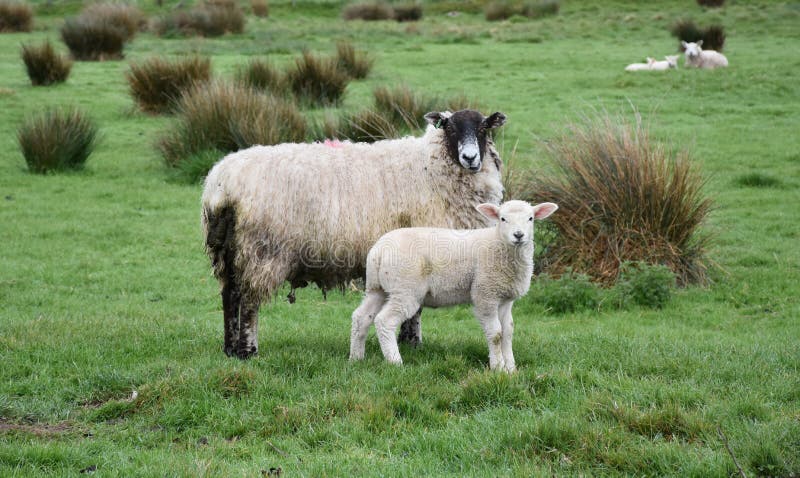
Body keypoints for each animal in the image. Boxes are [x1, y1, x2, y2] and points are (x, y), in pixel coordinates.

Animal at [201, 109, 507, 359]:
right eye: (450, 128)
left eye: (483, 129)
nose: (471, 158)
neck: (432, 167)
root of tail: (220, 183)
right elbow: (416, 306)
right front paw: (412, 341)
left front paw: (410, 341)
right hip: (262, 250)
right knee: (249, 301)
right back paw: (248, 350)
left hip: (228, 249)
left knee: (230, 294)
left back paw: (229, 348)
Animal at [349, 200, 558, 372]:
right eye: (503, 218)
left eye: (530, 218)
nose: (518, 235)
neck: (498, 242)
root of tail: (378, 250)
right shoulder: (485, 293)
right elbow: (496, 334)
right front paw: (498, 368)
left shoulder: (505, 298)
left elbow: (508, 332)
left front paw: (511, 369)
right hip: (405, 288)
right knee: (385, 321)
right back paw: (395, 362)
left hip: (378, 288)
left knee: (361, 317)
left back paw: (356, 358)